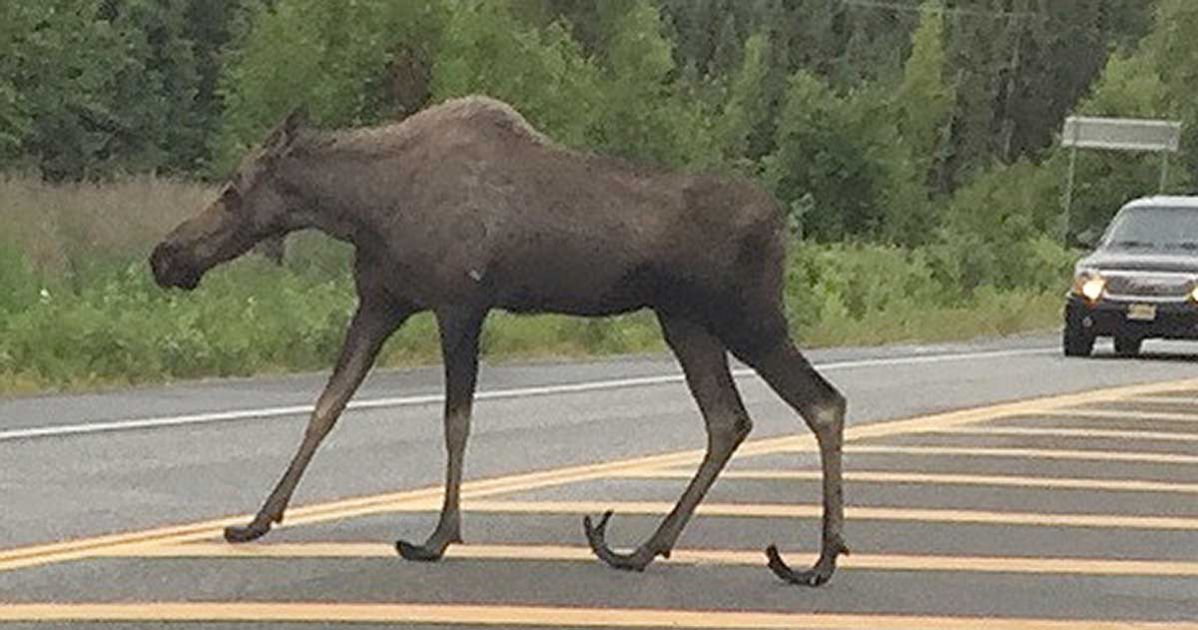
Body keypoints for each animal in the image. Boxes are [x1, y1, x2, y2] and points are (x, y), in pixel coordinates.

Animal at [150, 96, 848, 585]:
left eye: (232, 190)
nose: (165, 257)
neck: (363, 209)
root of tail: (781, 224)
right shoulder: (381, 303)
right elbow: (326, 407)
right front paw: (257, 520)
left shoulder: (460, 305)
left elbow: (455, 421)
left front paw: (438, 535)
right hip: (685, 321)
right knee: (728, 418)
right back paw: (643, 548)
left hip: (747, 317)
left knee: (822, 402)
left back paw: (818, 560)